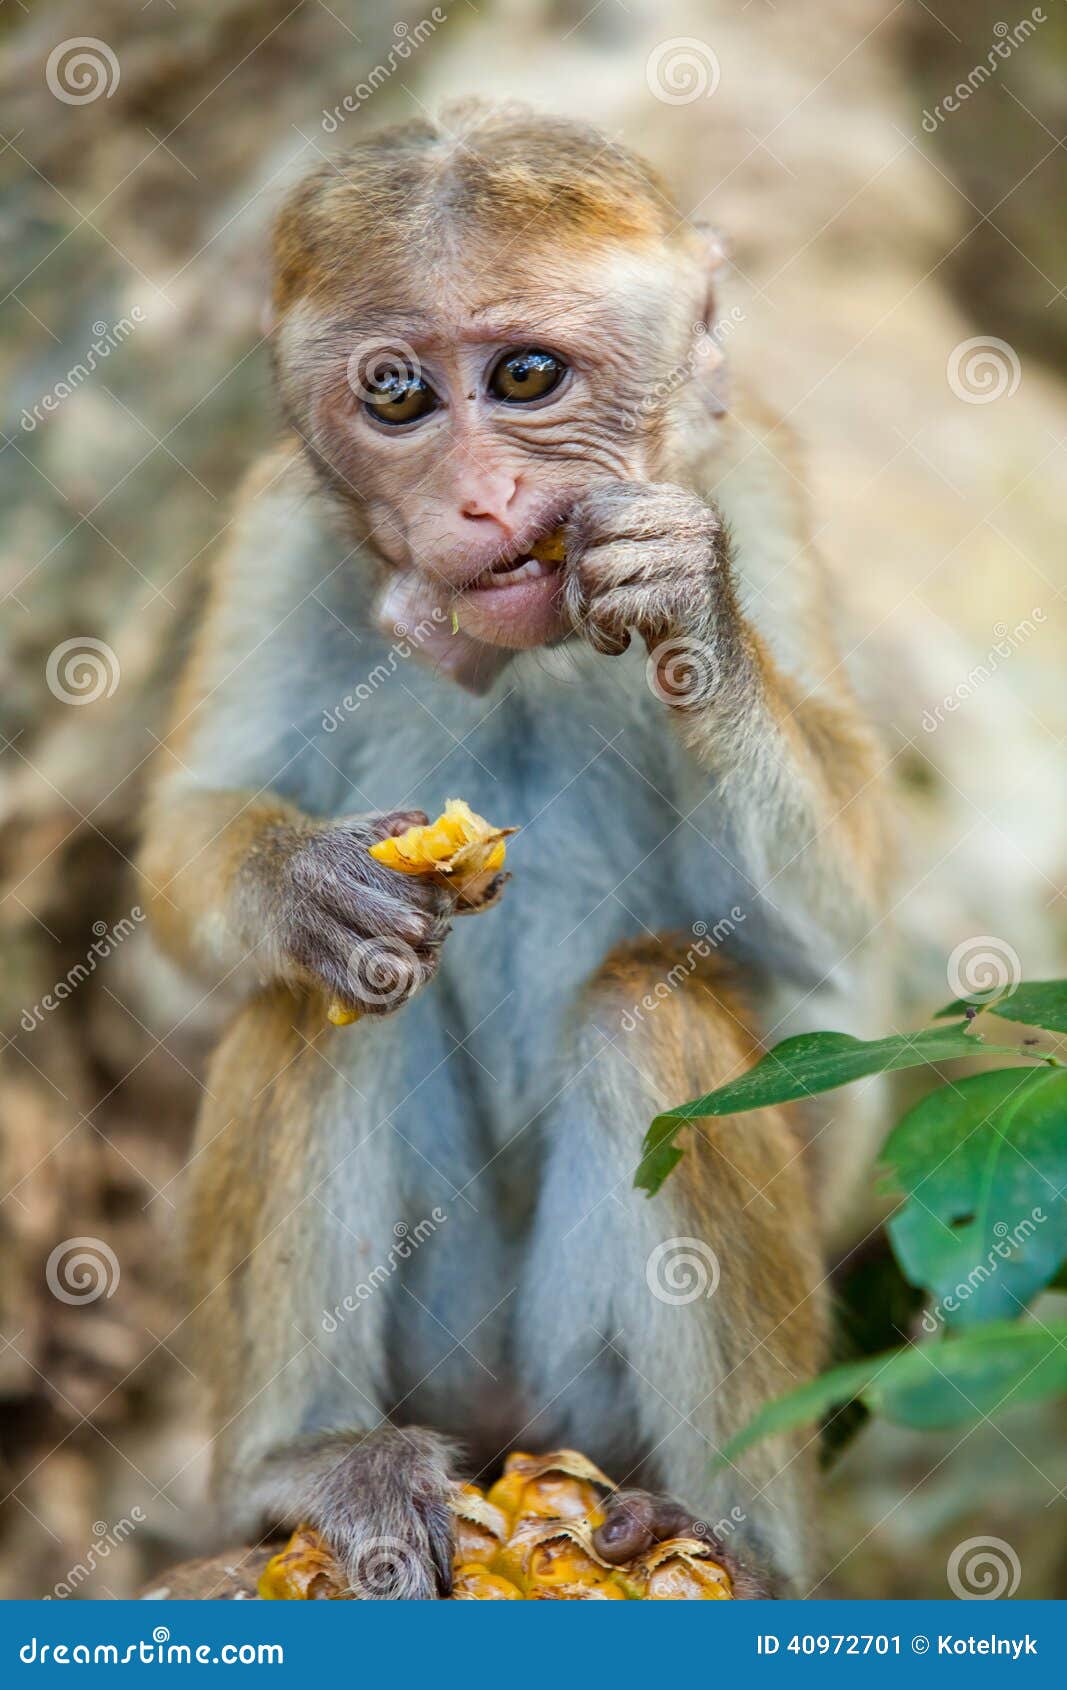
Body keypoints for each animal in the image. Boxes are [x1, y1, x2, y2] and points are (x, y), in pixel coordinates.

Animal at [138, 101, 891, 1600]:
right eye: (395, 397)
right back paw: (304, 1462)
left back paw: (734, 1541)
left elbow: (843, 940)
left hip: (577, 1395)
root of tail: (501, 1435)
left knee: (653, 1006)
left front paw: (690, 612)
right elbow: (189, 842)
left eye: (526, 375)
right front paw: (302, 887)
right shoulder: (275, 522)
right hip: (441, 1360)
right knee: (319, 1003)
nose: (483, 501)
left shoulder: (753, 478)